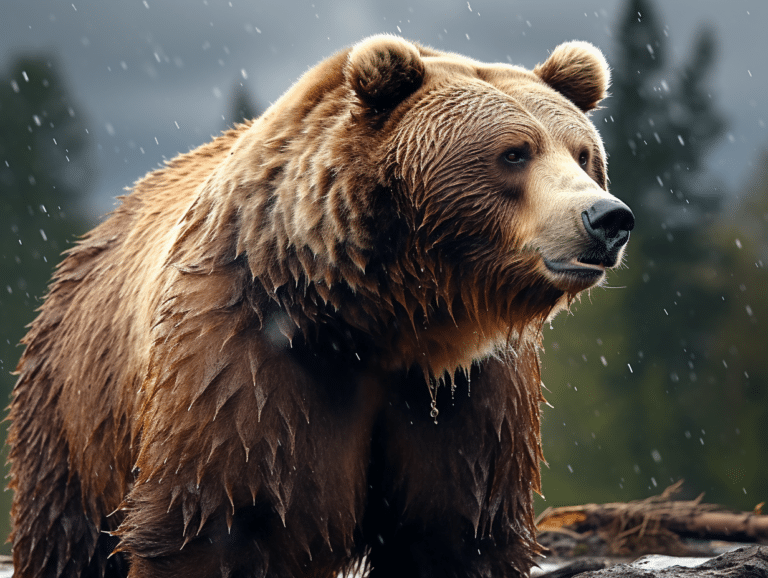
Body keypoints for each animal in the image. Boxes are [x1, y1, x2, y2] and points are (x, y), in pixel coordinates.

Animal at [8, 35, 633, 578]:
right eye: (514, 153)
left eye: (583, 154)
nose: (607, 218)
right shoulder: (243, 361)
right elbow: (214, 522)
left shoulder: (467, 390)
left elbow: (461, 530)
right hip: (74, 410)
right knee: (69, 536)